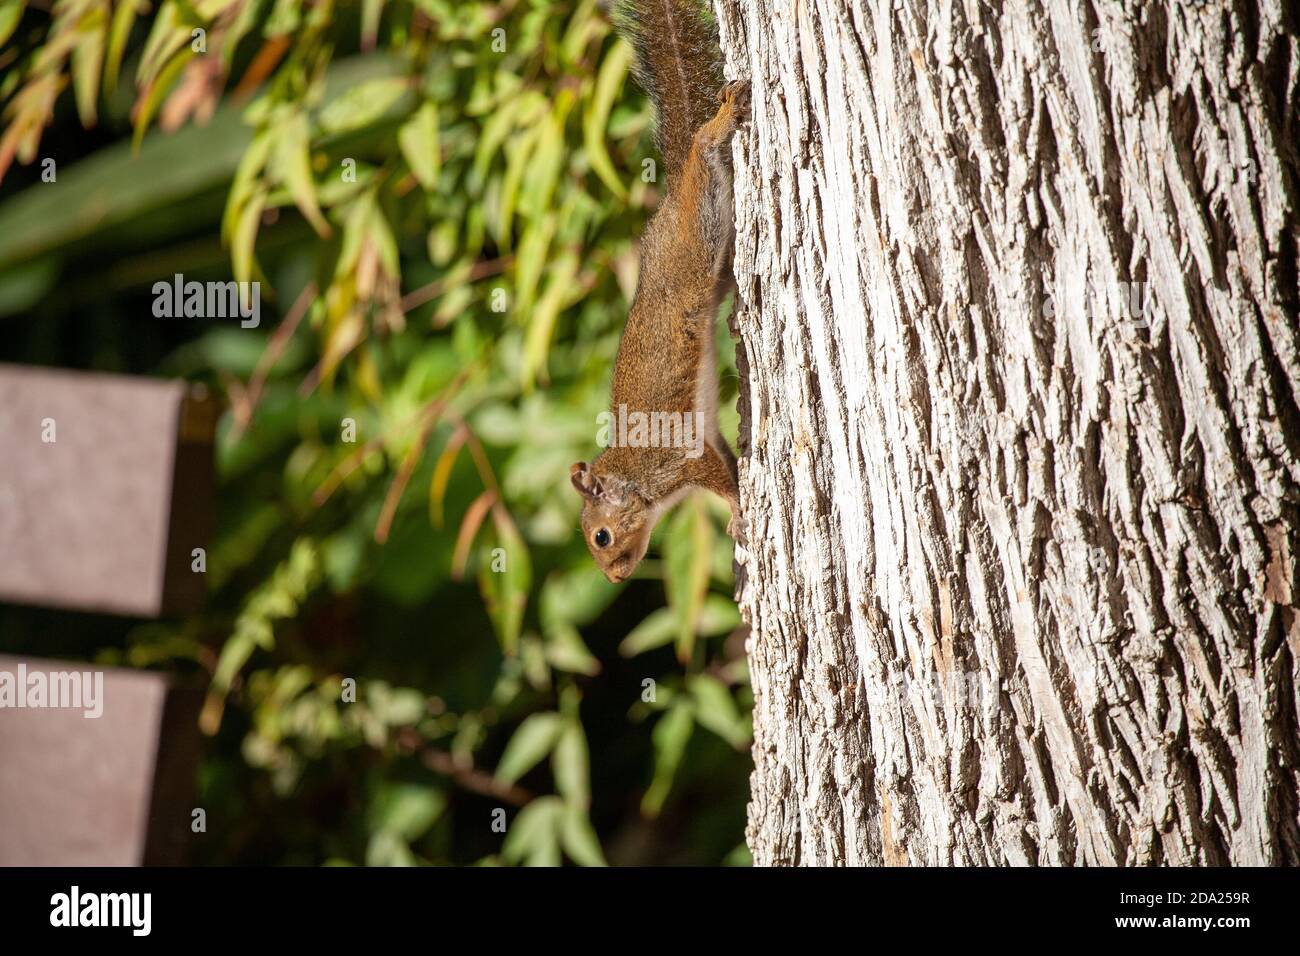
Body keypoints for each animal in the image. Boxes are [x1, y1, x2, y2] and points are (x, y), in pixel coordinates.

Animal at [570, 0, 749, 584]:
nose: (616, 578)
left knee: (704, 149)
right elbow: (728, 459)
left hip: (700, 225)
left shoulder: (677, 458)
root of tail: (670, 200)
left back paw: (719, 122)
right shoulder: (705, 435)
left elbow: (721, 481)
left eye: (601, 536)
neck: (633, 476)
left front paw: (738, 514)